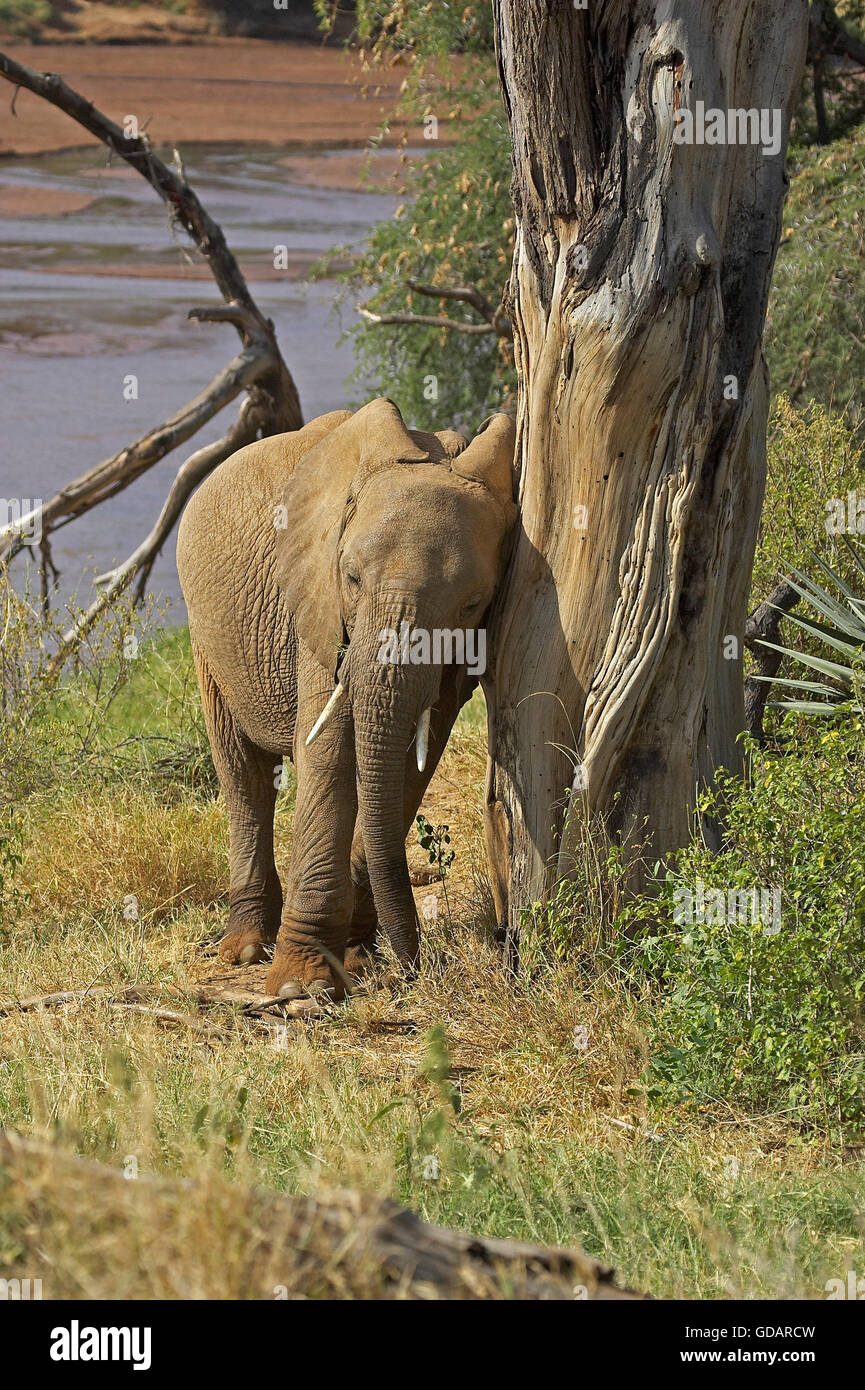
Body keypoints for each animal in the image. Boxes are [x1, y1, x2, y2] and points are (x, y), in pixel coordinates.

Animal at [177, 397, 516, 1002]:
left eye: (473, 603)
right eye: (352, 578)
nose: (416, 966)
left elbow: (407, 764)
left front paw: (353, 961)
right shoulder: (317, 605)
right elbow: (330, 752)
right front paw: (300, 988)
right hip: (206, 636)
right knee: (243, 774)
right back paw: (245, 950)